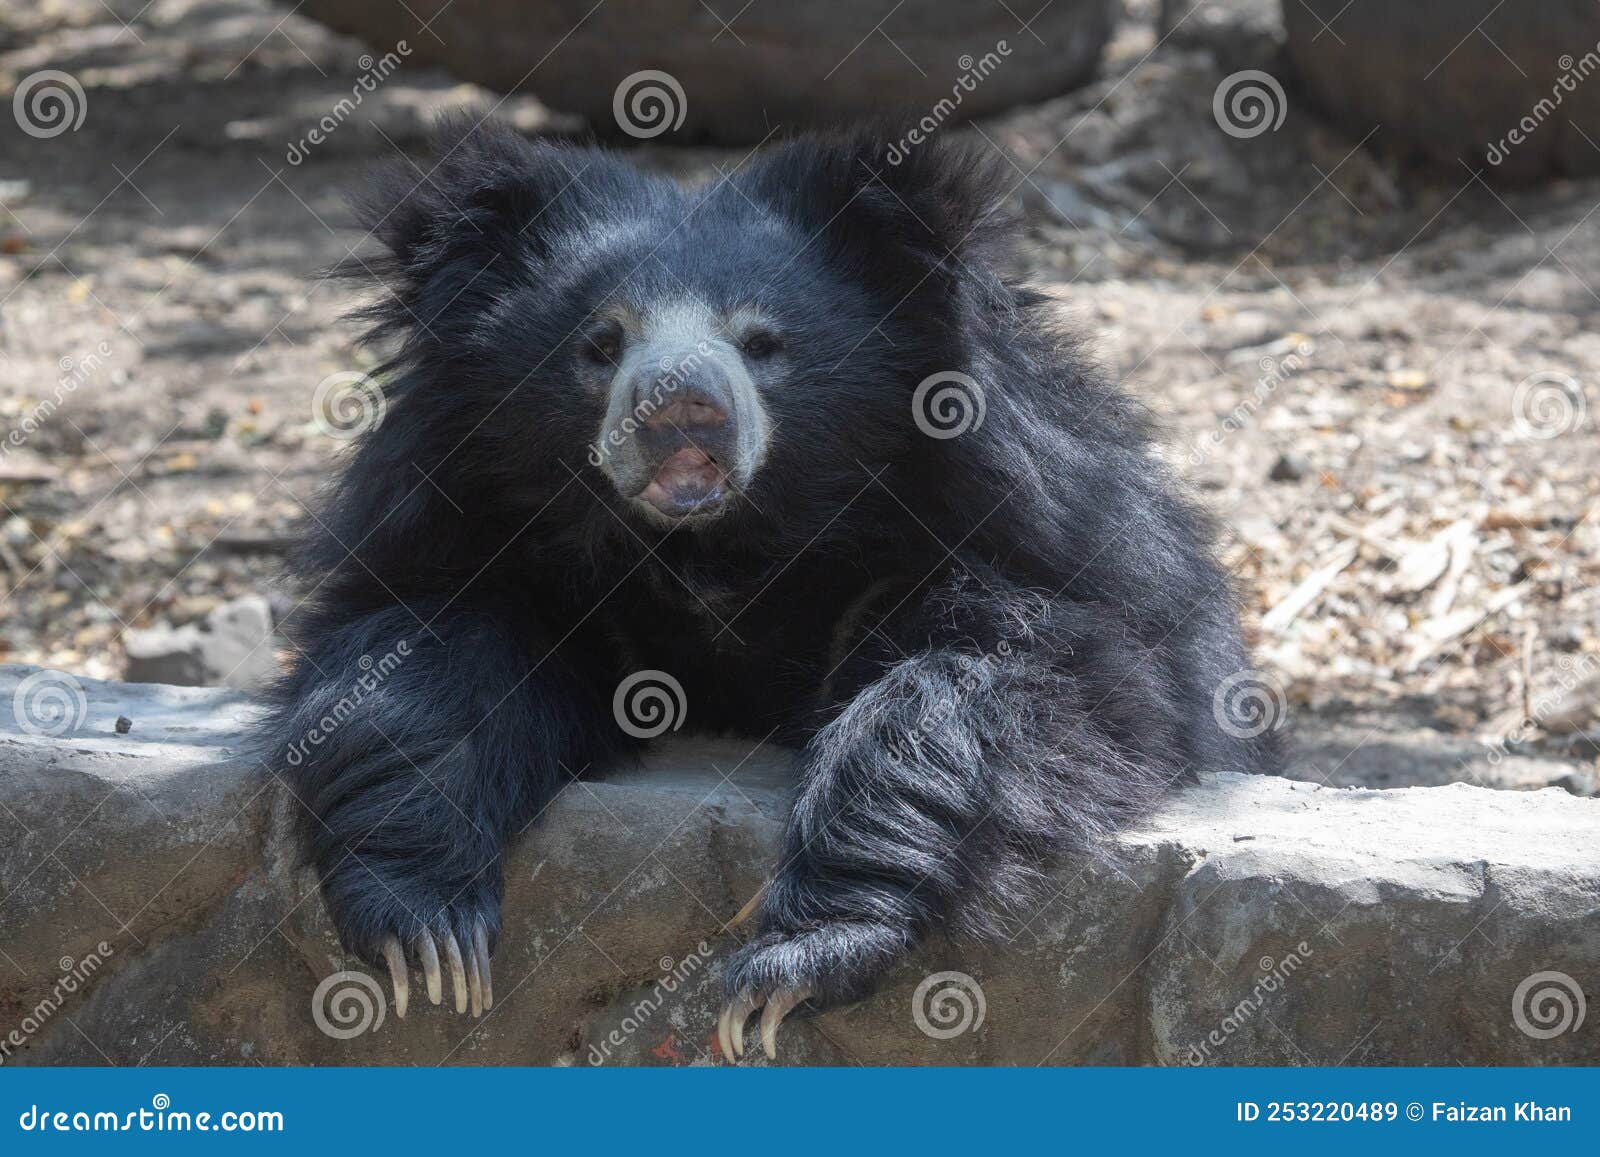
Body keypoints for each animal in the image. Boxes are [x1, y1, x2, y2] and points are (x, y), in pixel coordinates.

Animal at [253, 115, 1276, 1060]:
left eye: (762, 342)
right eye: (600, 342)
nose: (677, 405)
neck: (723, 548)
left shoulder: (1044, 540)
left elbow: (1016, 675)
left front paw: (797, 959)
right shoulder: (461, 526)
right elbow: (423, 655)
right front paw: (425, 933)